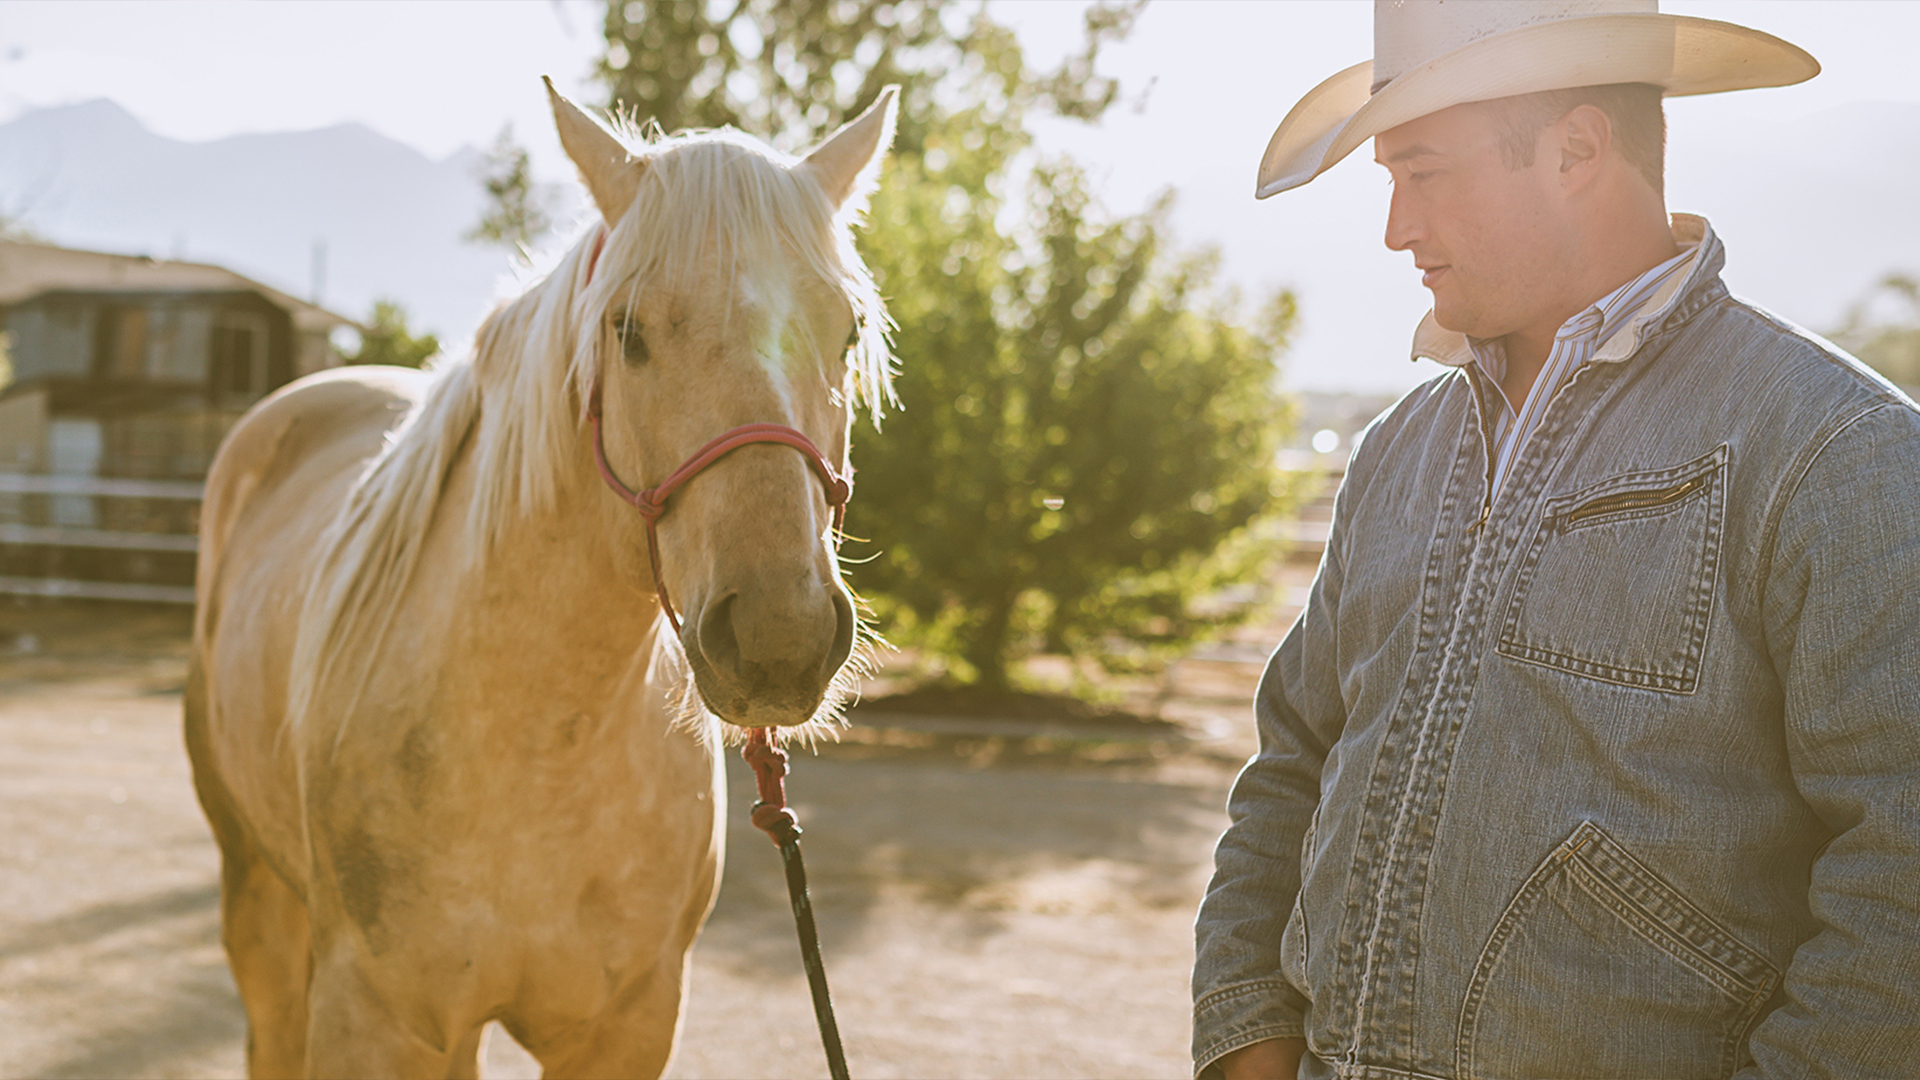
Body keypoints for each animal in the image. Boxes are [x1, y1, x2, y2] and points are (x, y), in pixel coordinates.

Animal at [184, 80, 899, 1077]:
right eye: (626, 330)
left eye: (848, 332)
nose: (778, 636)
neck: (540, 746)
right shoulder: (373, 1017)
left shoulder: (626, 1026)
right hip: (256, 899)